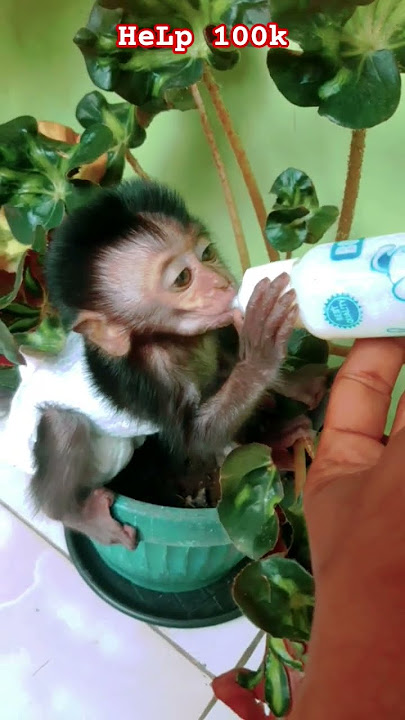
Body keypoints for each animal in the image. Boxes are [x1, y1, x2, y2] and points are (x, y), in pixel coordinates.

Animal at [7, 179, 325, 550]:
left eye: (206, 254)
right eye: (183, 278)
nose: (223, 282)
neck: (168, 339)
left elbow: (226, 361)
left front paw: (297, 383)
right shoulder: (153, 377)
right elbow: (195, 438)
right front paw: (261, 347)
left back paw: (279, 438)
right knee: (63, 424)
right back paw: (75, 514)